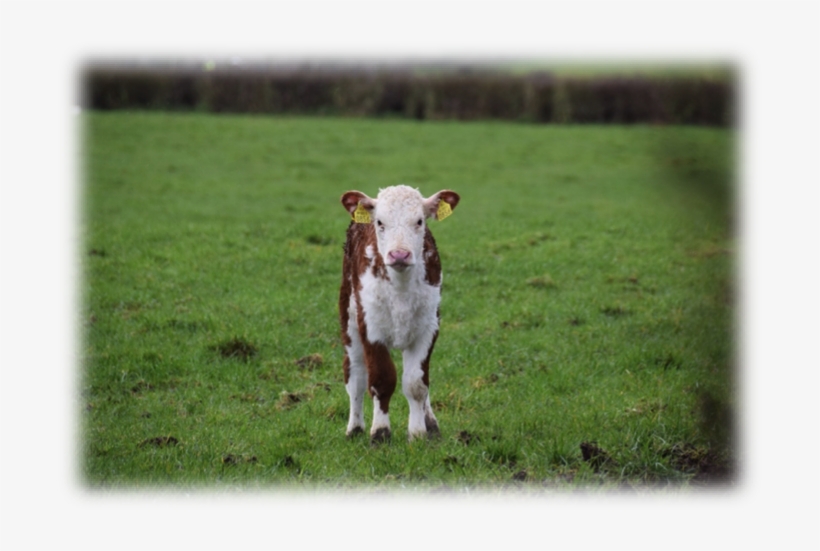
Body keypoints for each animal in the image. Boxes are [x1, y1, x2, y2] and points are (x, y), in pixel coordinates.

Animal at [339, 185, 460, 443]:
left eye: (419, 221)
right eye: (380, 222)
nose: (399, 255)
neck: (401, 288)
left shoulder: (428, 329)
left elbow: (417, 384)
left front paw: (418, 433)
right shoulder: (371, 328)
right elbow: (381, 380)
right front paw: (380, 432)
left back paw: (431, 423)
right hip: (348, 320)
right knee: (355, 376)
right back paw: (355, 428)